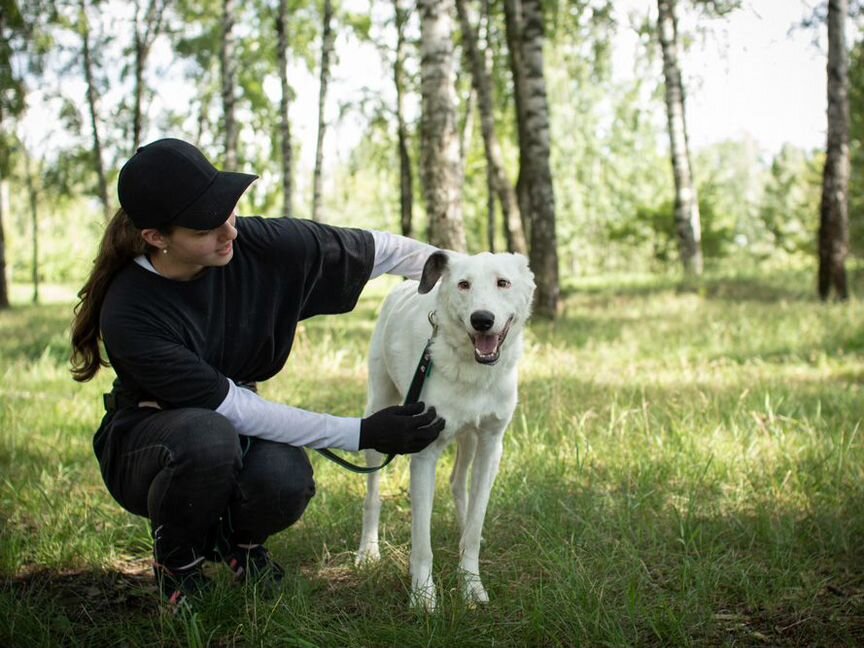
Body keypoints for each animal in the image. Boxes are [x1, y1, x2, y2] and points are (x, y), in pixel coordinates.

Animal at [356, 251, 532, 612]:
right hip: (378, 412)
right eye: (463, 284)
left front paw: (471, 585)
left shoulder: (491, 445)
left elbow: (475, 522)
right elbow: (422, 544)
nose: (482, 320)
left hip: (470, 440)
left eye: (503, 282)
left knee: (458, 483)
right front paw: (423, 596)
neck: (473, 370)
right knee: (372, 495)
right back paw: (368, 550)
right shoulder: (423, 453)